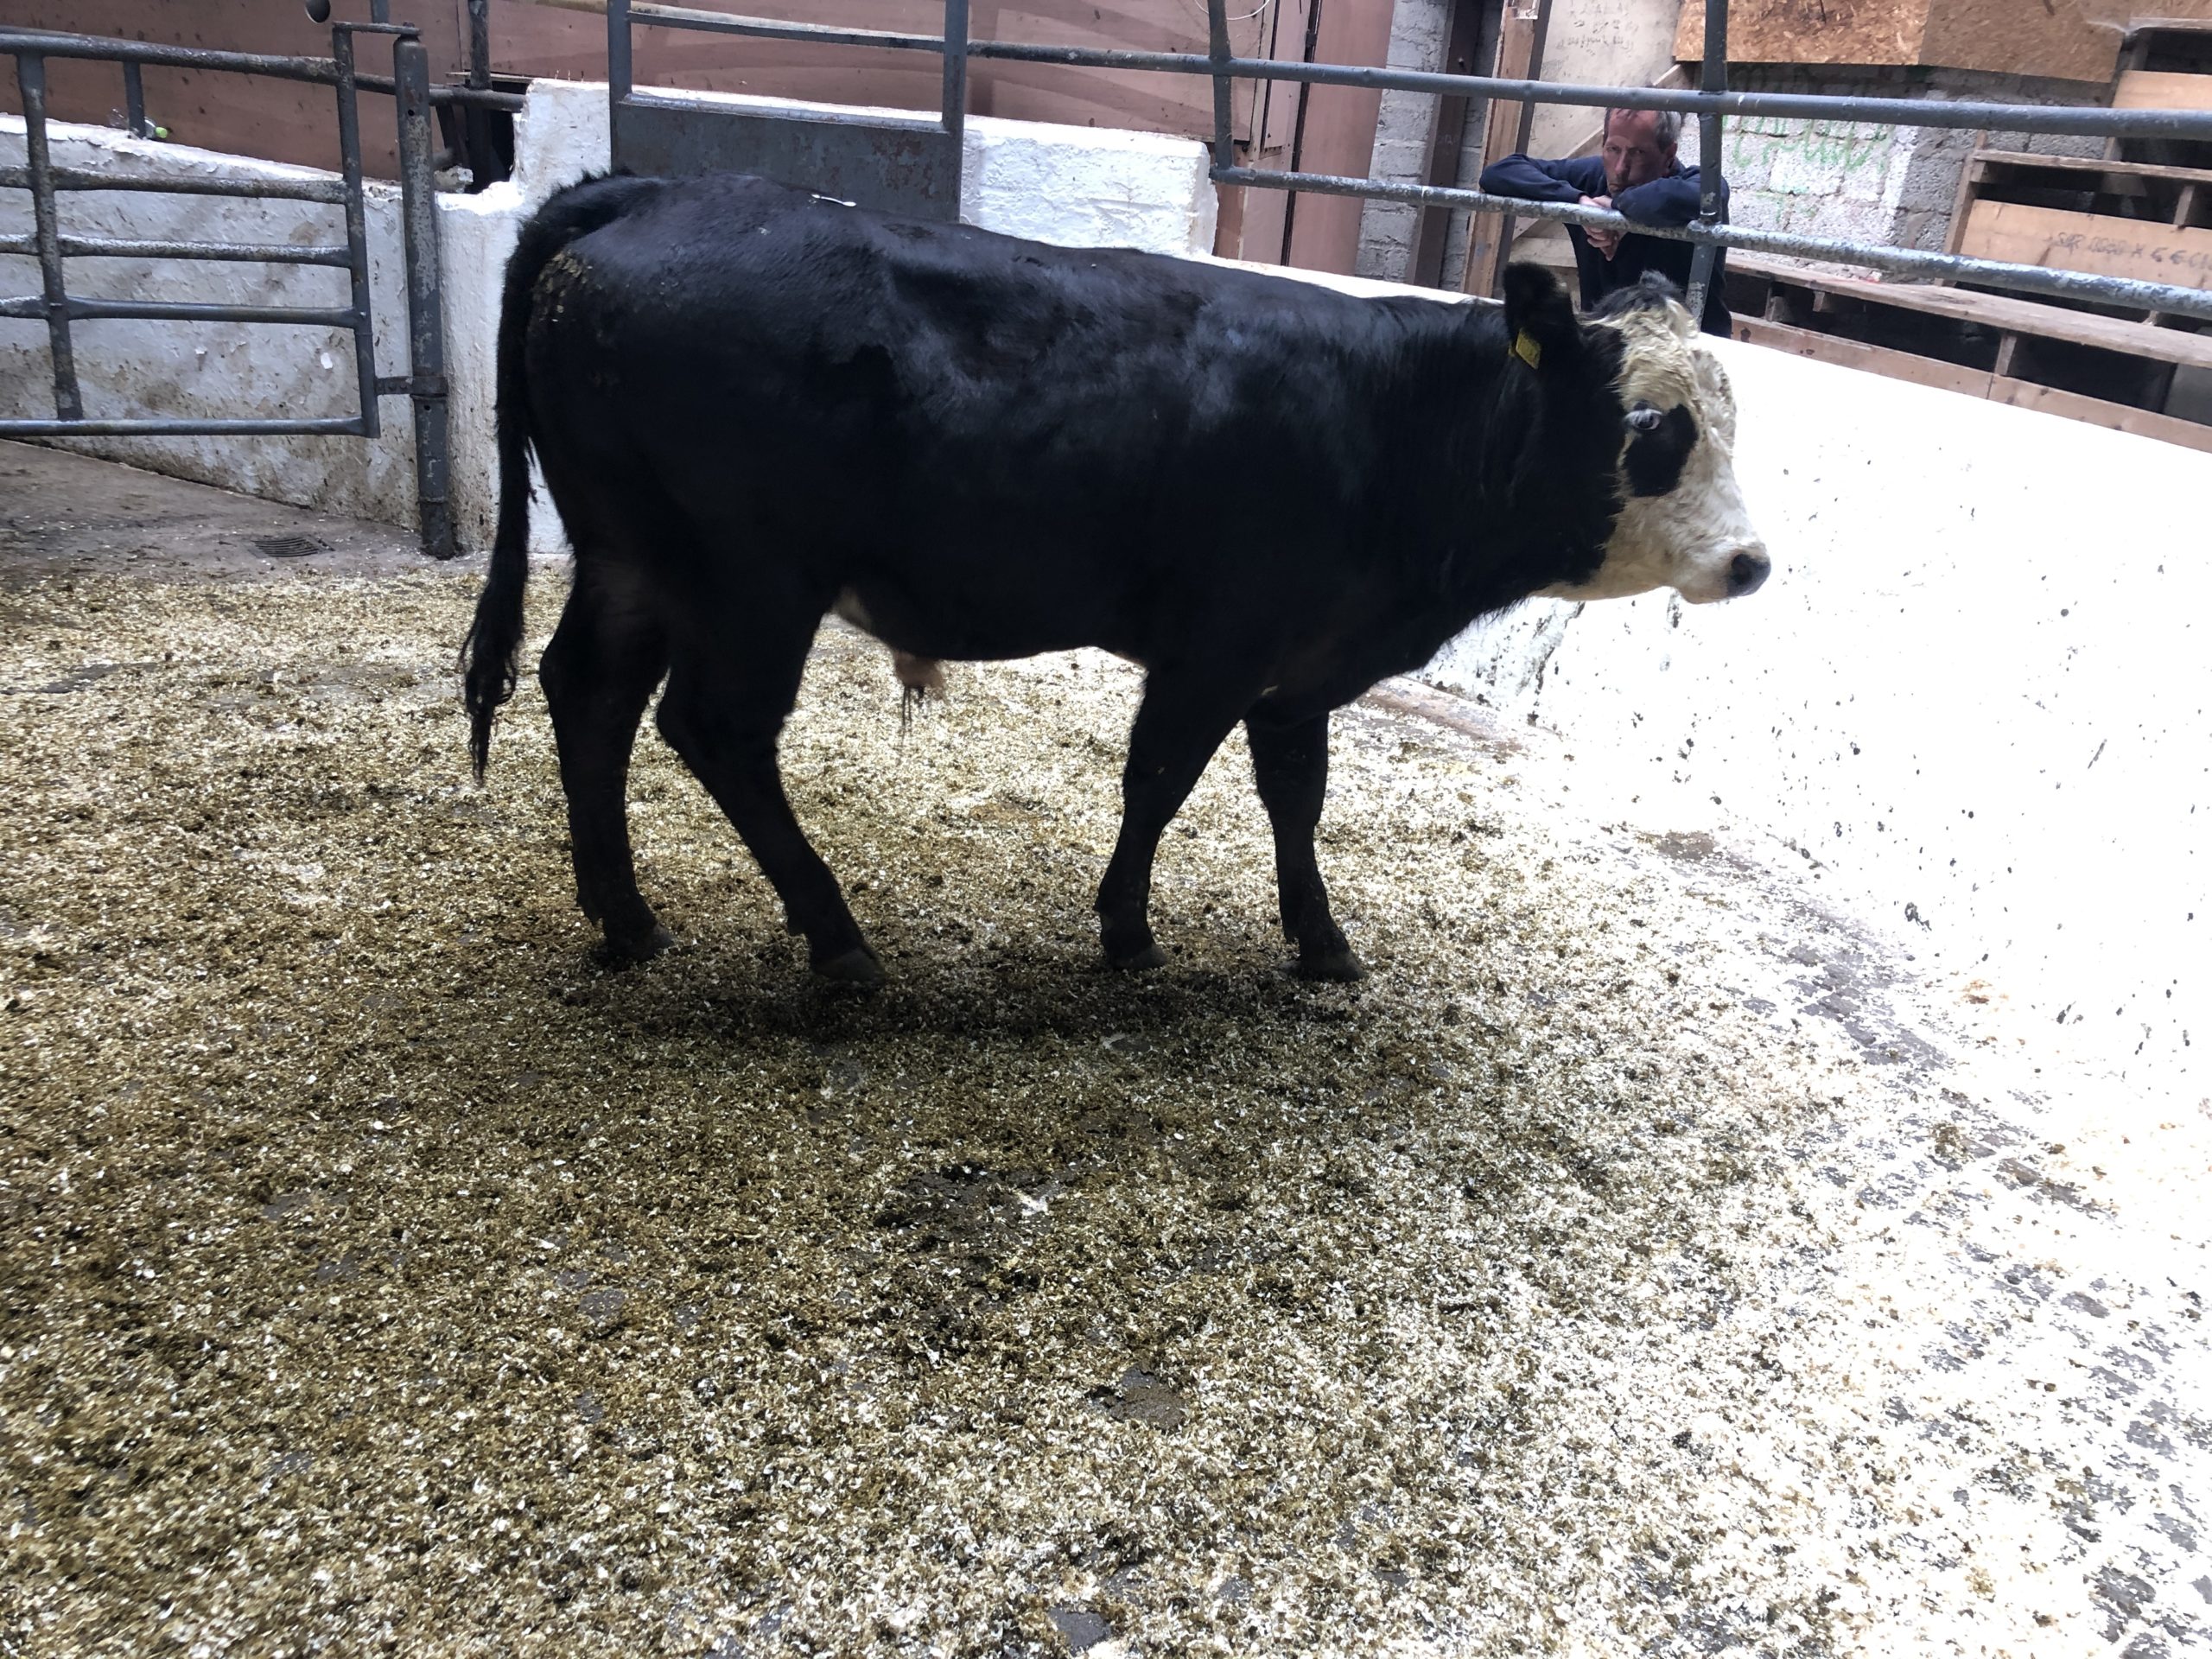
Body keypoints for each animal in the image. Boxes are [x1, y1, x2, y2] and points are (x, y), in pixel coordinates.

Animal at [461, 172, 1767, 986]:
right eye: (1653, 428)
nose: (1751, 562)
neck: (1390, 418)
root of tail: (643, 191)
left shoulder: (1298, 667)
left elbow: (1295, 798)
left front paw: (1318, 942)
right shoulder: (1219, 647)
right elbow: (1160, 781)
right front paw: (1129, 932)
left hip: (633, 557)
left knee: (587, 694)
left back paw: (627, 919)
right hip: (748, 584)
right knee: (714, 729)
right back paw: (836, 941)